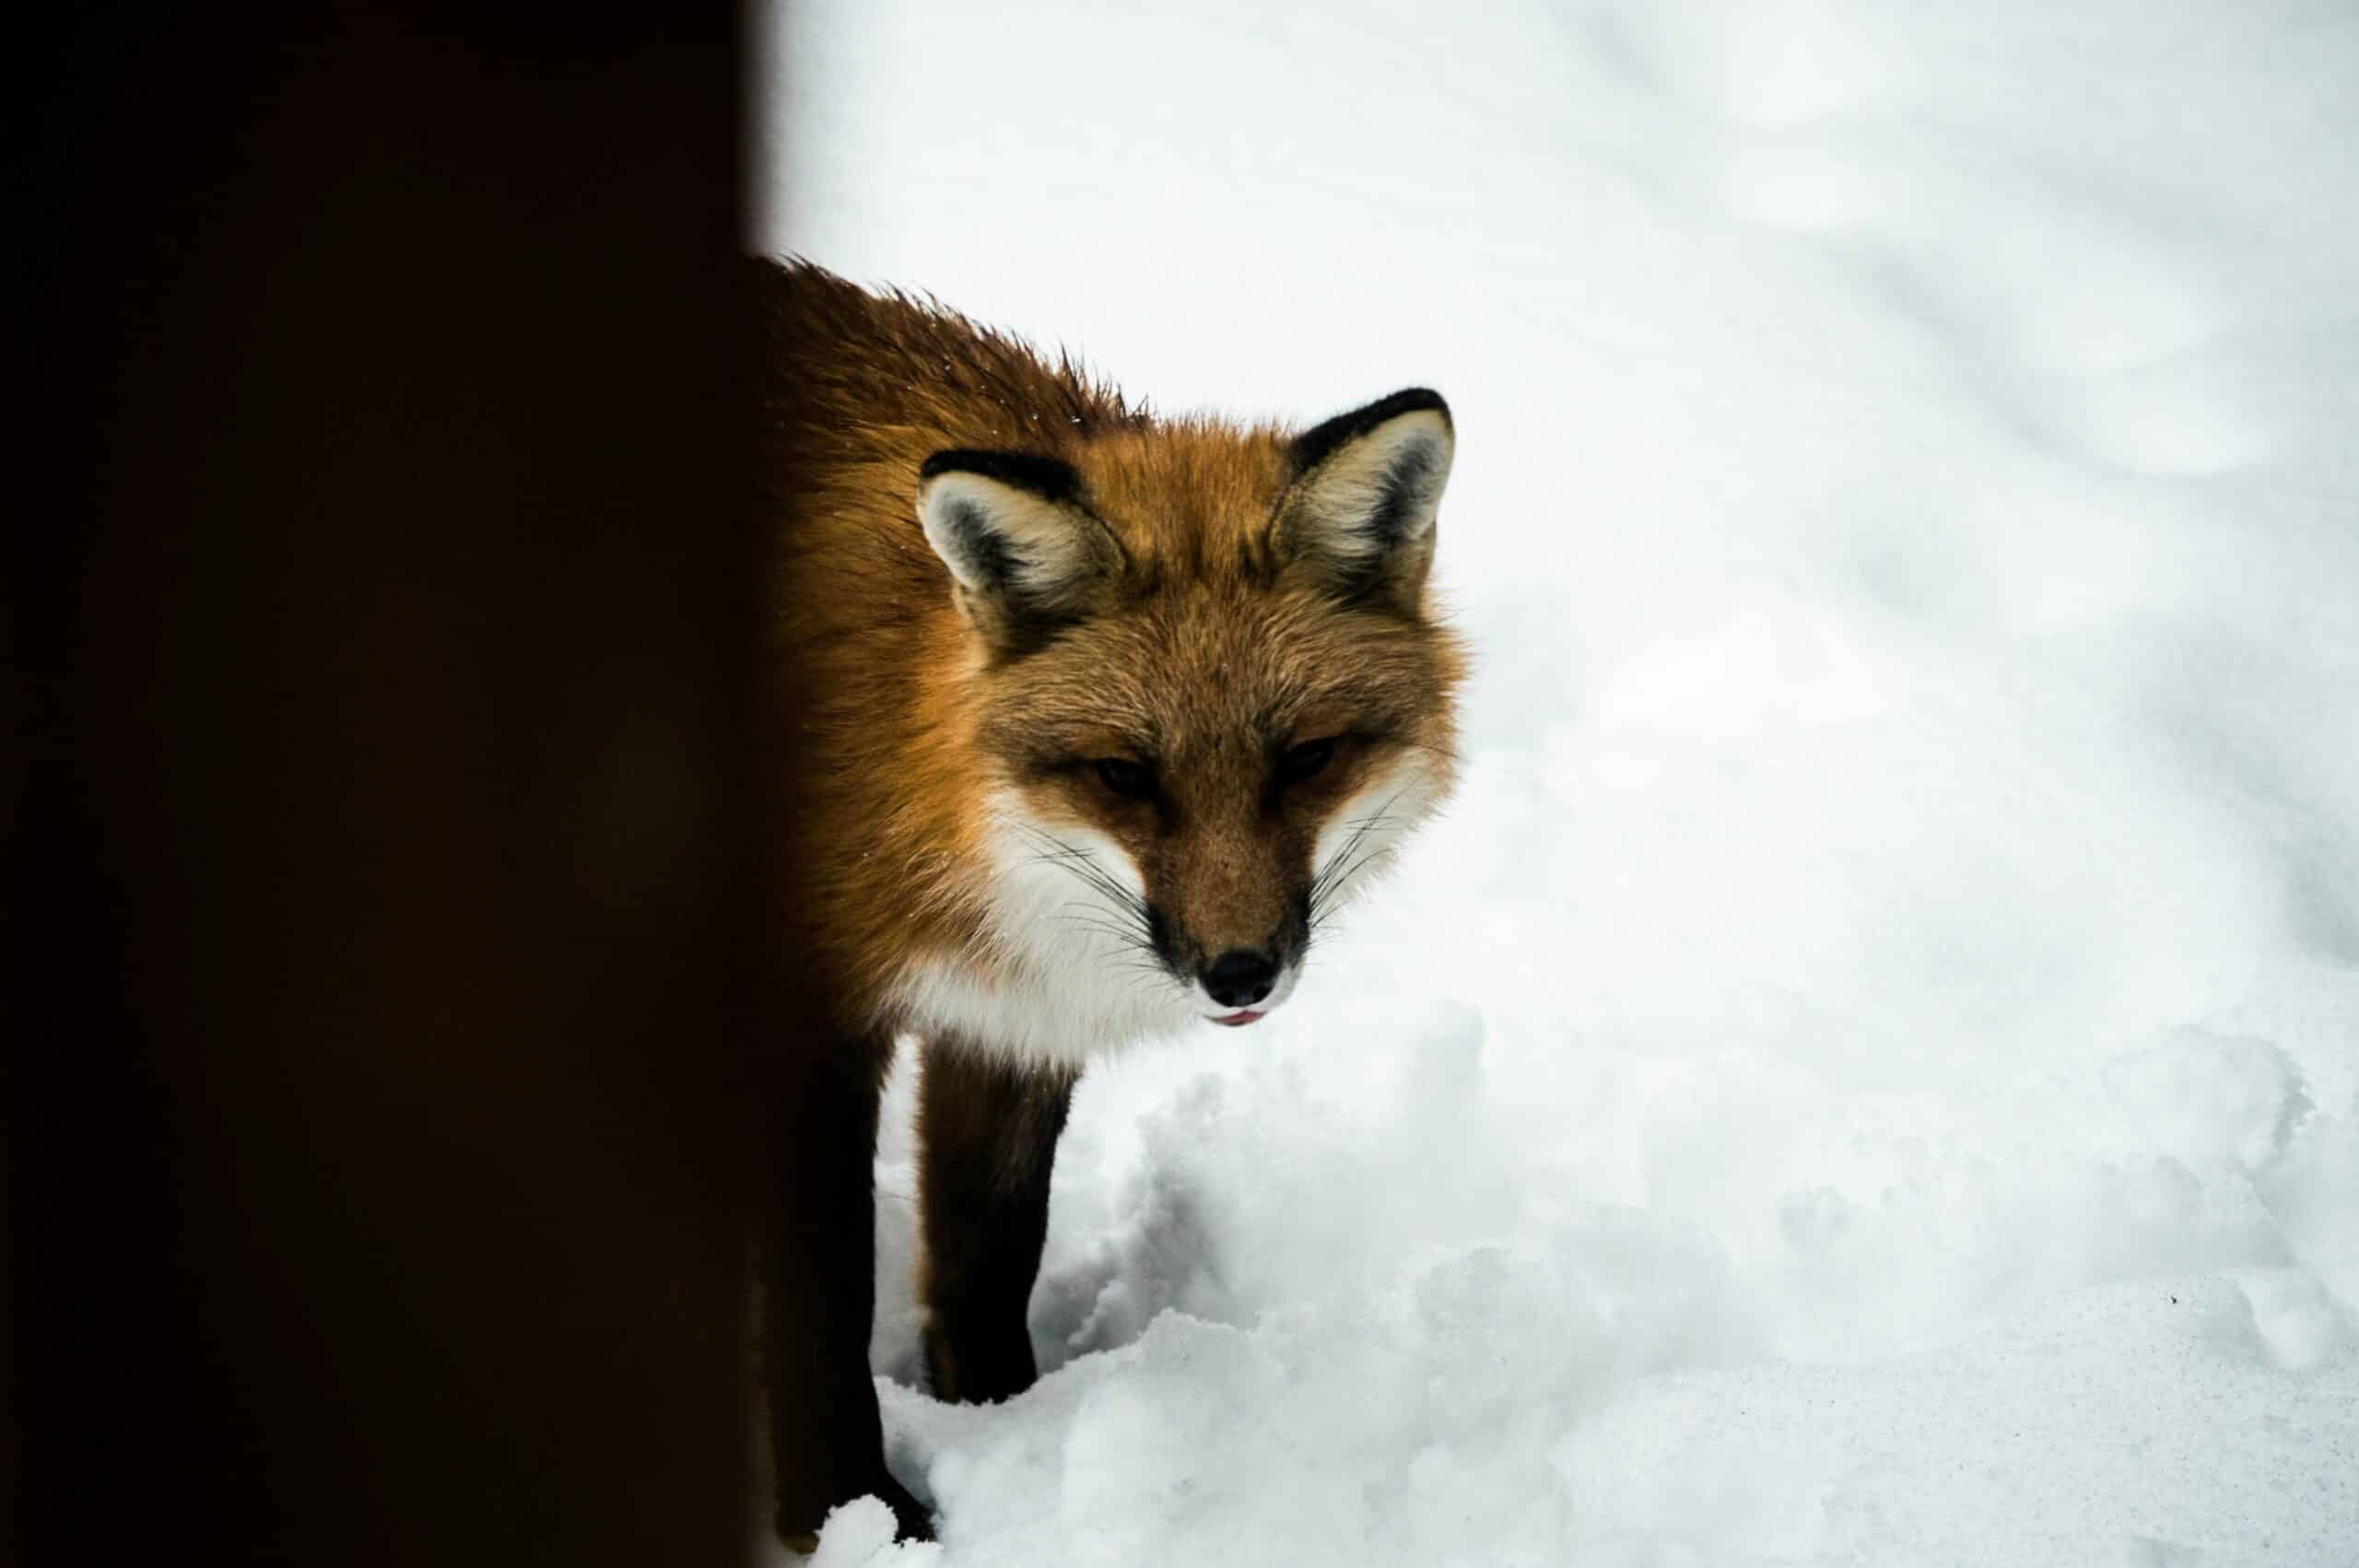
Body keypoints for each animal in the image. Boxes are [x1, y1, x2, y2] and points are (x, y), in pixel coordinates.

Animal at [756, 257, 1466, 1548]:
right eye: (1125, 775)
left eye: (1304, 759)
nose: (1238, 970)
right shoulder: (805, 1018)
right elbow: (822, 1304)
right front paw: (853, 1516)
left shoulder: (1010, 1021)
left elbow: (989, 1258)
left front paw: (1004, 1432)